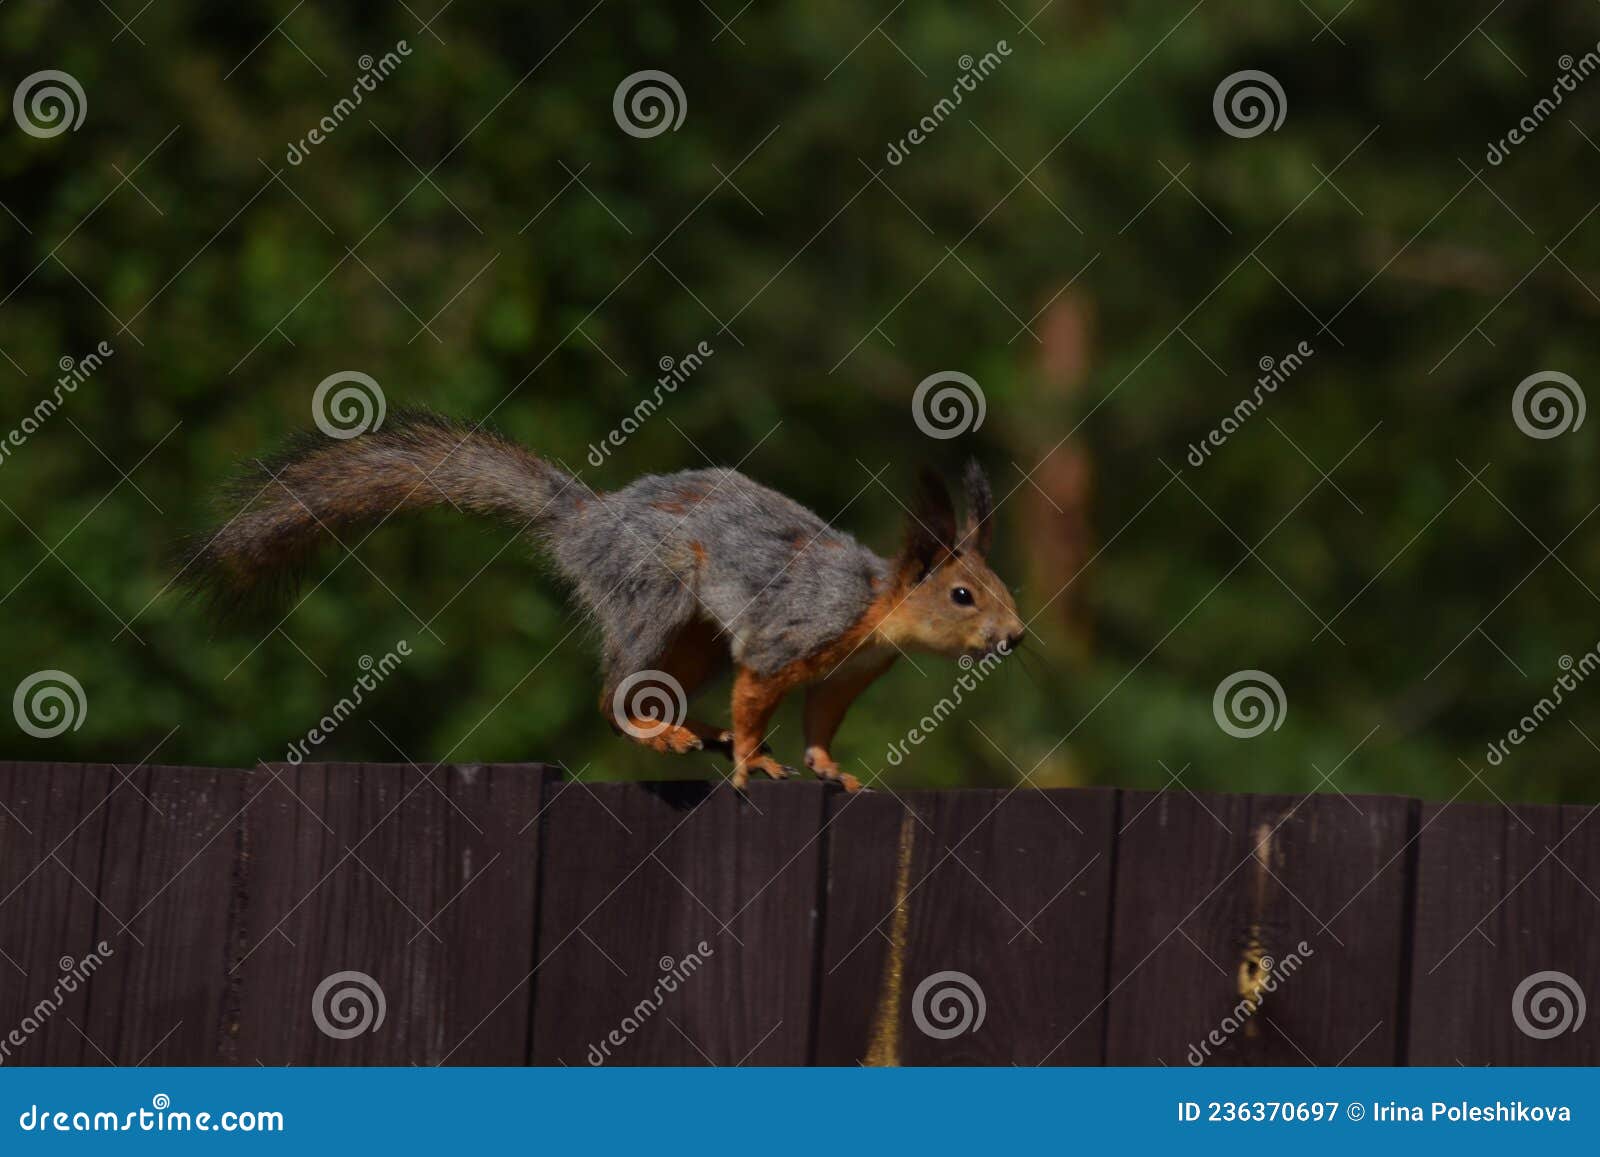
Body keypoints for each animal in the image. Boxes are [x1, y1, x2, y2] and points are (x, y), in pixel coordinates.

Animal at [186, 411, 1025, 792]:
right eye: (961, 594)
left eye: (1000, 588)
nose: (1015, 636)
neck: (879, 611)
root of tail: (587, 523)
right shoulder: (794, 635)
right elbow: (760, 692)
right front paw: (755, 760)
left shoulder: (848, 673)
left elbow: (821, 718)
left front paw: (830, 767)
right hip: (651, 596)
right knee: (613, 696)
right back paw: (671, 736)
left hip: (692, 641)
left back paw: (697, 730)